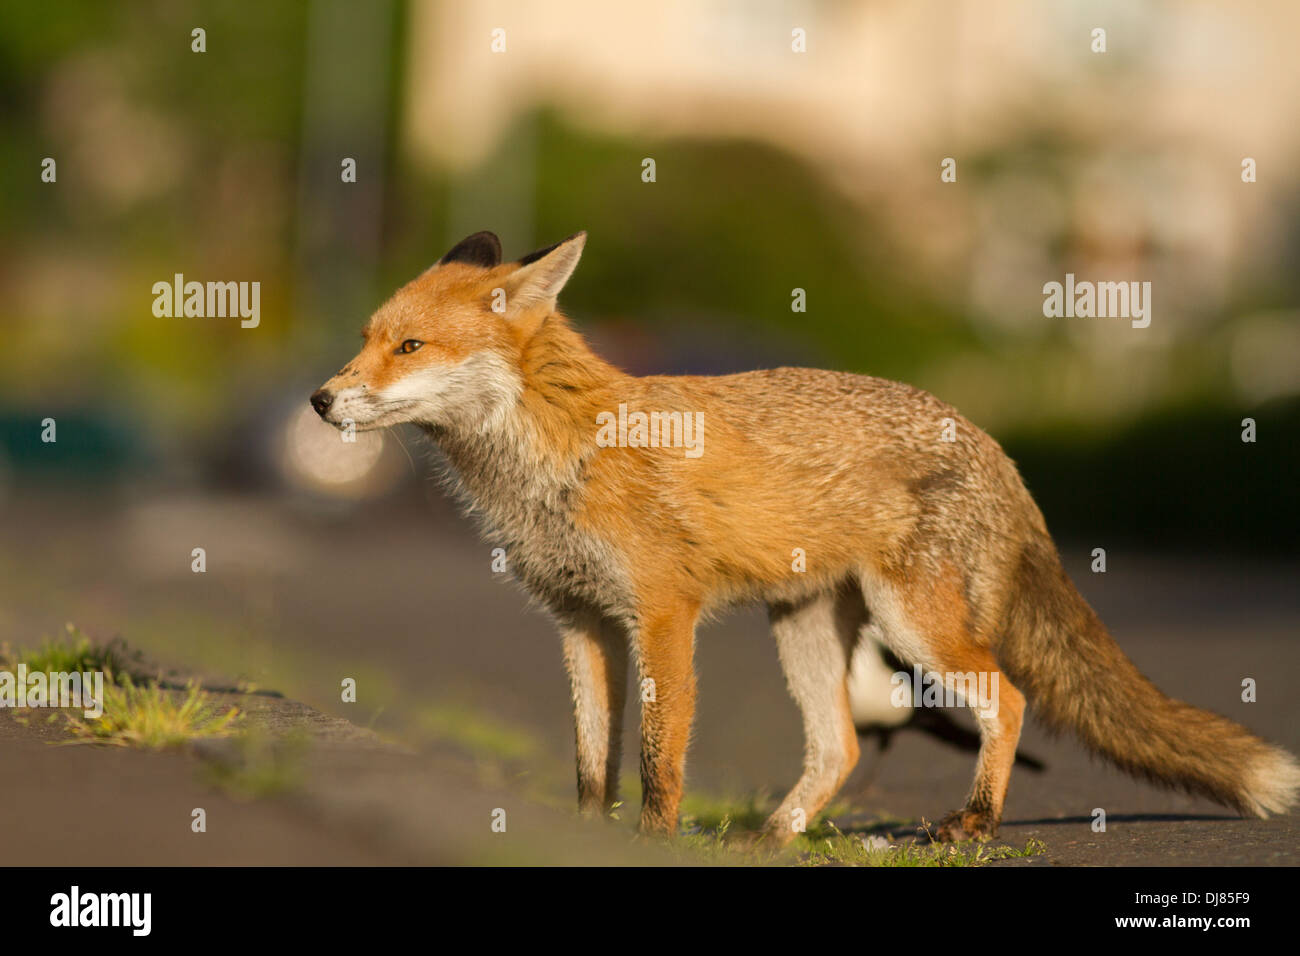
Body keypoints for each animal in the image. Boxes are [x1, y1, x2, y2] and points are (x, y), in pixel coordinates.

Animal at [311, 229, 1300, 843]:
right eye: (364, 339)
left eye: (409, 348)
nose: (319, 400)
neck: (561, 454)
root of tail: (993, 444)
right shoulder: (580, 622)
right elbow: (592, 760)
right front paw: (586, 838)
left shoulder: (662, 616)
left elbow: (656, 758)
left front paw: (652, 841)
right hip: (806, 629)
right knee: (842, 748)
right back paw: (774, 838)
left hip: (912, 625)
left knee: (1008, 699)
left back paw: (973, 823)